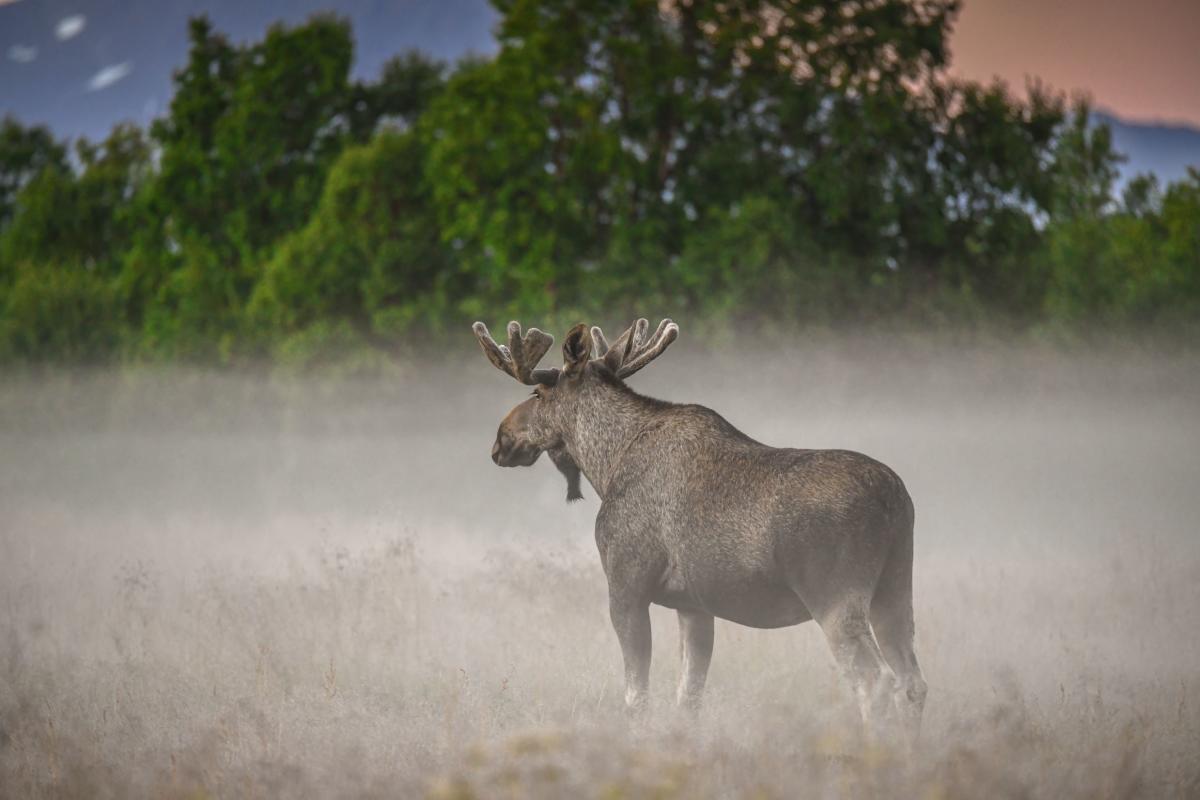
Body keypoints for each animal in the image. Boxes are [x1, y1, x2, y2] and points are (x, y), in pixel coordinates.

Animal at [472, 318, 927, 740]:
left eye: (537, 393)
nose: (500, 441)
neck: (605, 462)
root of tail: (896, 500)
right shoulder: (693, 604)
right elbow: (688, 696)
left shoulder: (626, 585)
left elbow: (636, 696)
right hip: (894, 588)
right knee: (913, 682)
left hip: (834, 595)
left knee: (875, 679)